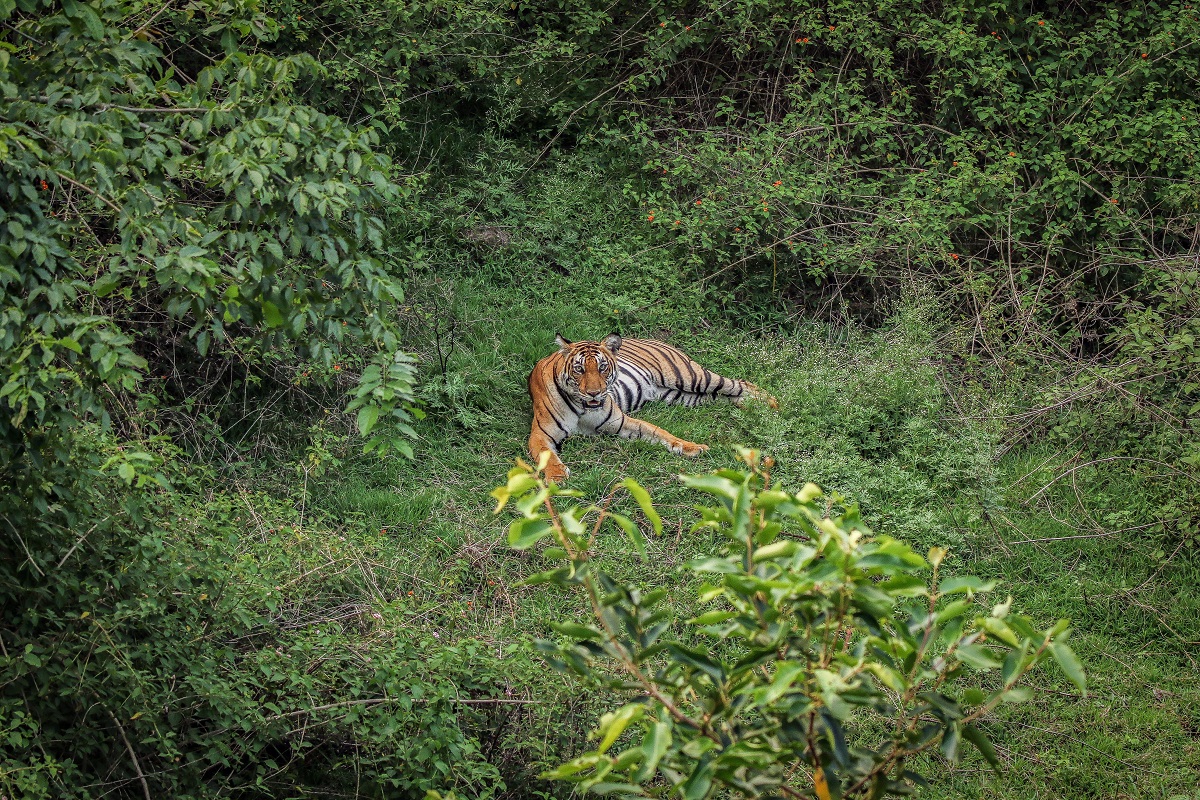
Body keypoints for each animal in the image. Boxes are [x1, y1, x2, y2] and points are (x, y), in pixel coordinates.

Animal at [527, 333, 778, 482]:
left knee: (740, 383)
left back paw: (773, 405)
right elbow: (547, 456)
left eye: (602, 367)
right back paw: (750, 406)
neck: (584, 408)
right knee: (728, 394)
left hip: (692, 378)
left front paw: (692, 447)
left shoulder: (622, 422)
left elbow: (660, 432)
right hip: (686, 396)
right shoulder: (540, 434)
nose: (594, 392)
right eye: (579, 369)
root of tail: (655, 339)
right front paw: (557, 477)